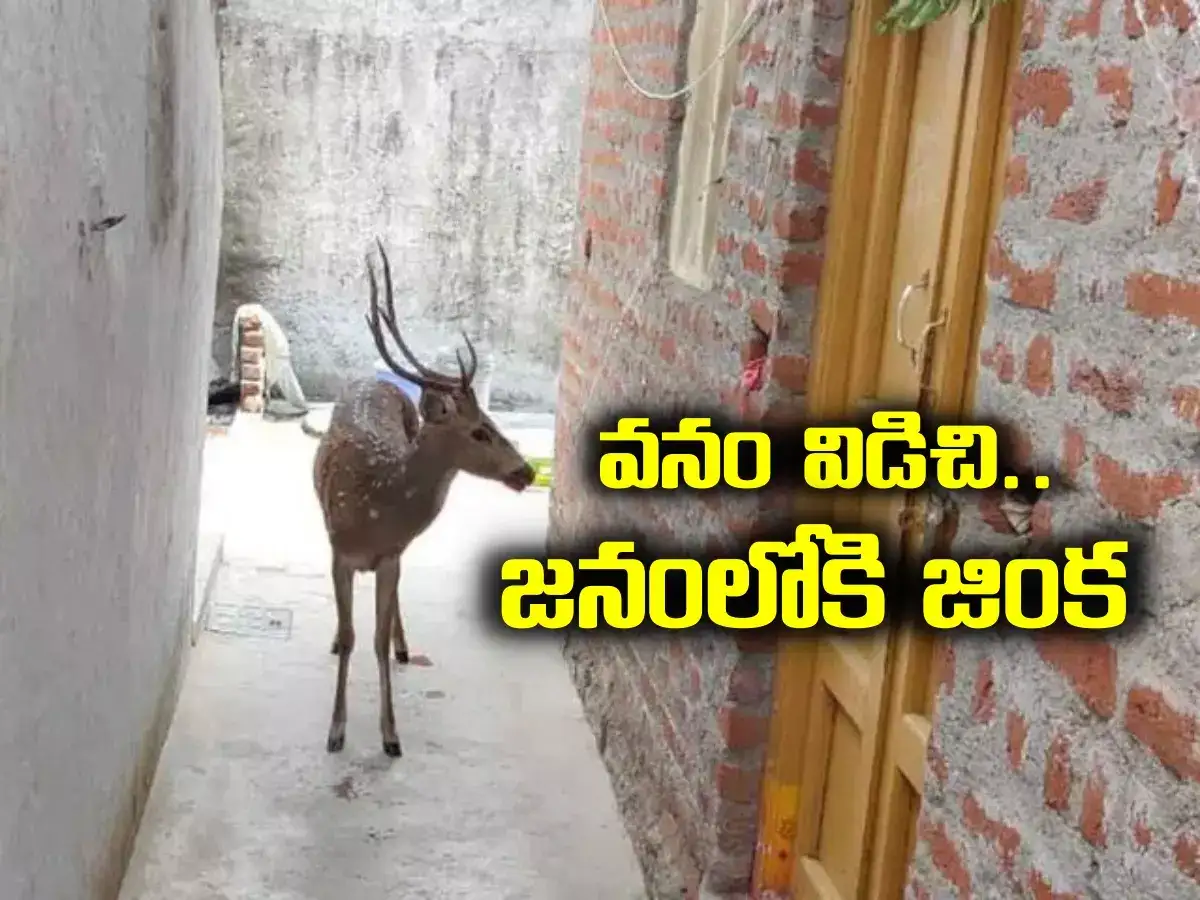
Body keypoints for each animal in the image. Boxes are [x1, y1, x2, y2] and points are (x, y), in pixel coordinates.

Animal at [312, 238, 536, 758]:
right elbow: (351, 637)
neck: (376, 508)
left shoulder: (391, 555)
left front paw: (390, 736)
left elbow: (375, 639)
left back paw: (403, 645)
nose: (527, 471)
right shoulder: (339, 551)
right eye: (480, 430)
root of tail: (376, 379)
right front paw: (336, 732)